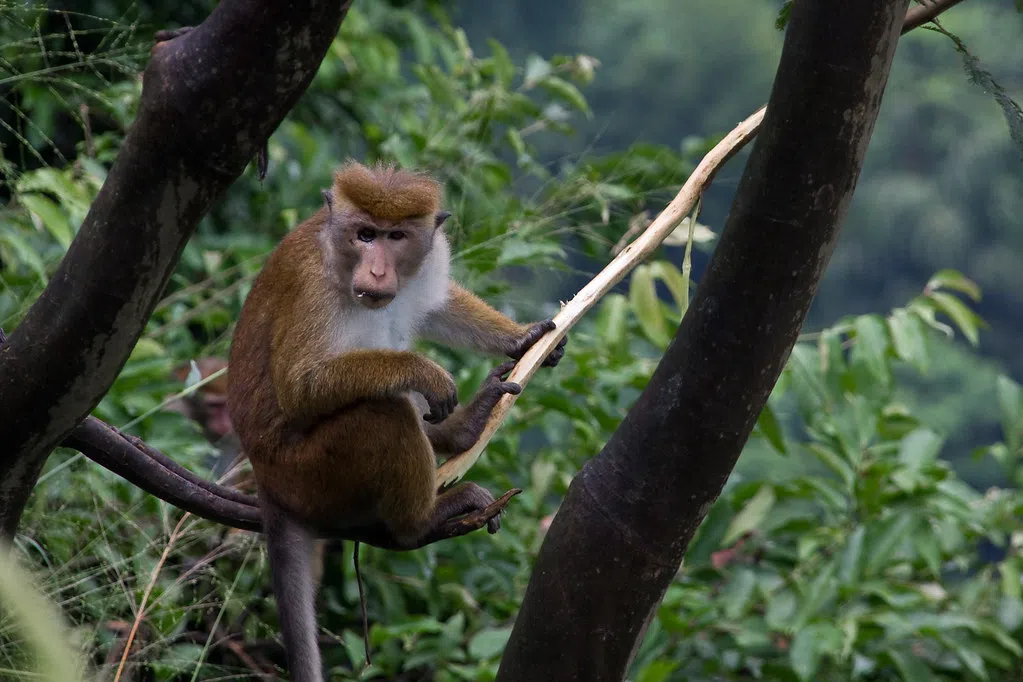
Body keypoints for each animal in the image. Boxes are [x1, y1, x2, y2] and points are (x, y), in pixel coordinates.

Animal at [226, 160, 566, 681]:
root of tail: (266, 480)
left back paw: (458, 431)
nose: (378, 269)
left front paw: (521, 337)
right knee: (382, 413)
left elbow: (438, 305)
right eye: (365, 234)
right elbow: (301, 387)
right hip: (309, 473)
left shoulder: (429, 258)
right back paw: (423, 519)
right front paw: (425, 372)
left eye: (396, 236)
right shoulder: (312, 286)